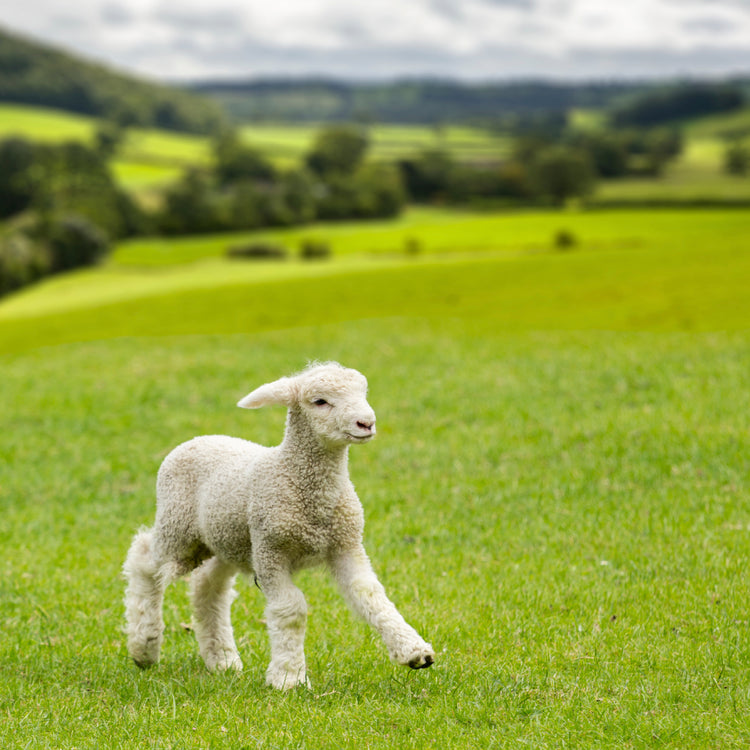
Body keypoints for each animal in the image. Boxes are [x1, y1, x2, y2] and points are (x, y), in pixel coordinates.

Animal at [123, 362, 434, 690]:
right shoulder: (270, 551)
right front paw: (289, 676)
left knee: (208, 586)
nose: (366, 423)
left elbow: (371, 595)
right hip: (179, 528)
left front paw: (414, 651)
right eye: (320, 401)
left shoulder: (345, 545)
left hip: (227, 540)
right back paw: (144, 646)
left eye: (363, 392)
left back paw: (222, 658)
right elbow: (291, 609)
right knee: (143, 560)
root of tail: (196, 439)